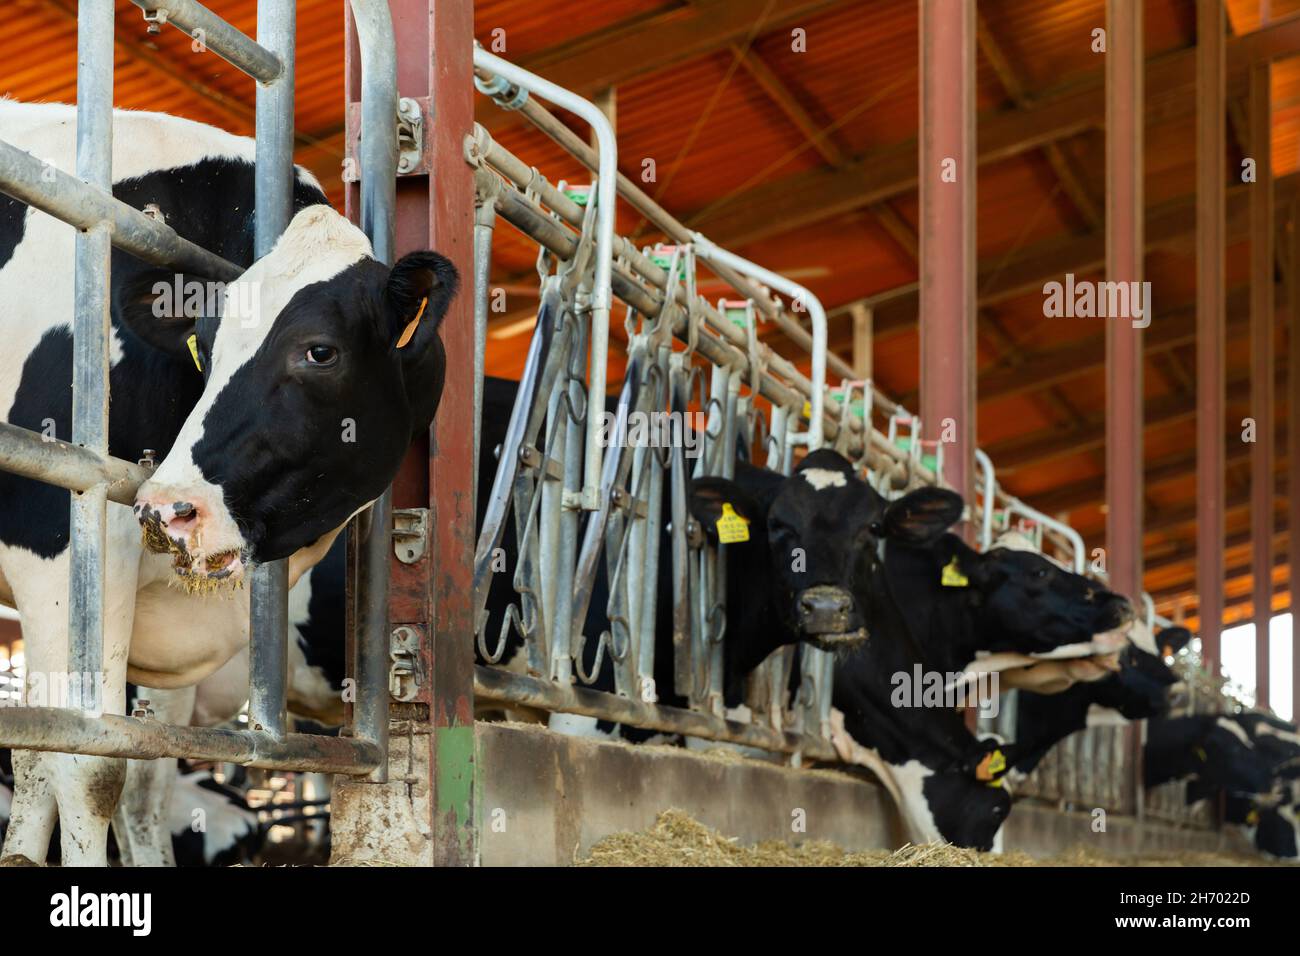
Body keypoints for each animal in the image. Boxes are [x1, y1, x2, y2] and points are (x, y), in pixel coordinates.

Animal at [0, 102, 459, 866]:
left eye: (319, 351)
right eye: (205, 347)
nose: (168, 511)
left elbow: (86, 766)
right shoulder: (52, 534)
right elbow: (84, 760)